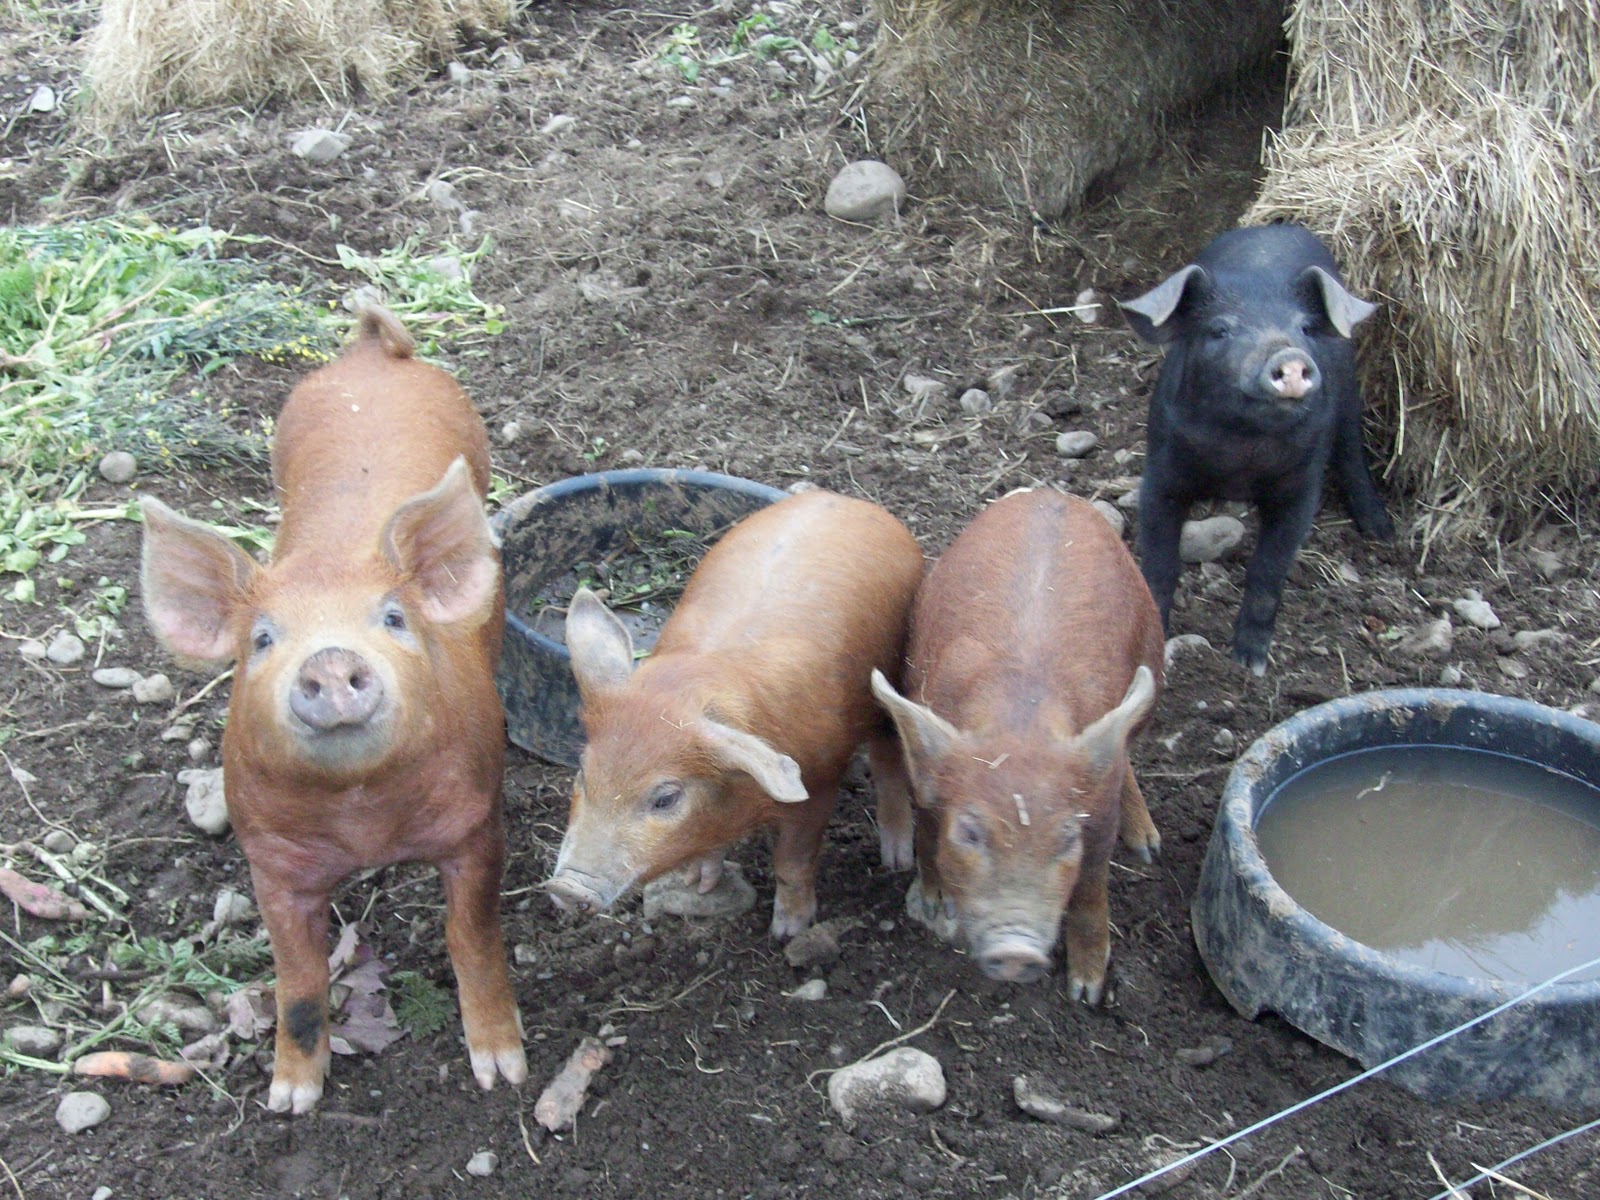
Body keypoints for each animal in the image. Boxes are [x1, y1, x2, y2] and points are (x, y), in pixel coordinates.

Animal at [139, 306, 525, 1114]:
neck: (364, 818)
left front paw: (503, 1071)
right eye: (261, 640)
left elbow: (471, 938)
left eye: (394, 619)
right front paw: (291, 1100)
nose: (326, 660)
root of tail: (370, 353)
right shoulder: (271, 857)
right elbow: (298, 980)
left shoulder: (477, 824)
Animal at [545, 490, 925, 939]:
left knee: (888, 759)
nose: (567, 888)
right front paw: (699, 883)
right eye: (583, 773)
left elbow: (792, 862)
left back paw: (897, 860)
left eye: (665, 798)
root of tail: (850, 501)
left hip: (892, 675)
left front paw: (787, 931)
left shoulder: (818, 779)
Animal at [870, 488, 1162, 1003]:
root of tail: (1052, 493)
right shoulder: (926, 775)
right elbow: (927, 834)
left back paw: (1150, 847)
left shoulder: (1097, 812)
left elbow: (1092, 884)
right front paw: (935, 905)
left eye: (1066, 837)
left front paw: (1086, 992)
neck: (1020, 721)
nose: (1018, 951)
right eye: (969, 832)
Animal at [1120, 223, 1394, 675]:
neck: (1243, 451)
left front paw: (1251, 664)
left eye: (1304, 328)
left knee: (1352, 451)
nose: (1290, 356)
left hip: (1350, 394)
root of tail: (1276, 227)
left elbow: (1268, 572)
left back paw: (1383, 534)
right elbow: (1160, 566)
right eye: (1220, 330)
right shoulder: (1161, 476)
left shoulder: (1300, 491)